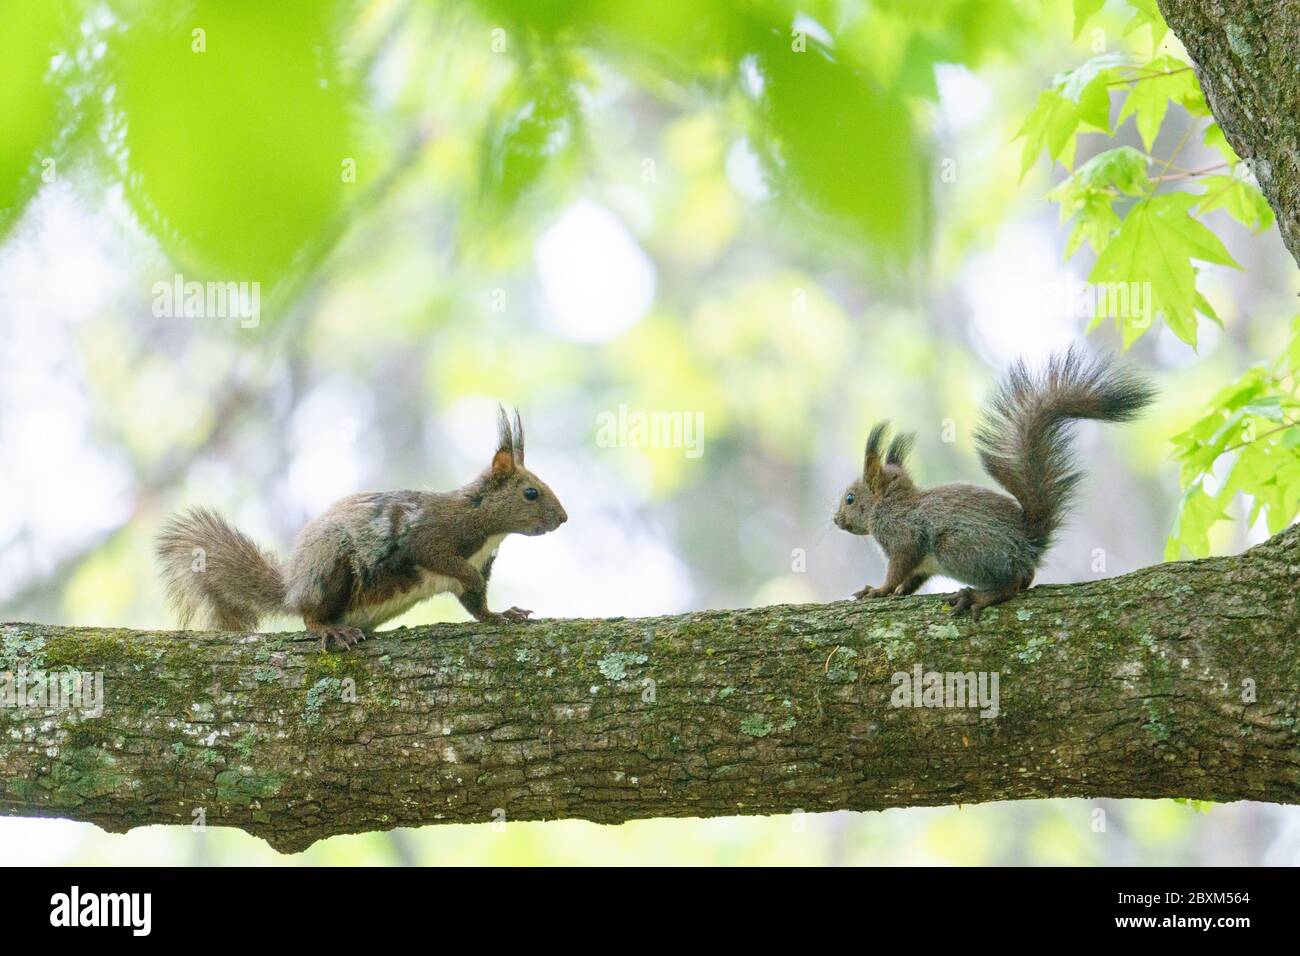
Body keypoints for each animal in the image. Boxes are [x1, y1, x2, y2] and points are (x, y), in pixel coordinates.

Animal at [156, 406, 567, 649]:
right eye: (531, 493)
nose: (563, 519)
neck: (485, 525)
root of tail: (294, 588)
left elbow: (477, 606)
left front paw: (502, 615)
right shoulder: (432, 533)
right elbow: (443, 560)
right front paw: (472, 579)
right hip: (333, 572)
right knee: (309, 616)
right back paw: (329, 628)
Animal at [833, 347, 1154, 620]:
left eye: (850, 498)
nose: (835, 520)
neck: (891, 503)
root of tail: (1029, 543)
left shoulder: (904, 536)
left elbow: (899, 569)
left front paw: (879, 590)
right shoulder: (920, 565)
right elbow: (912, 579)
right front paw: (893, 592)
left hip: (955, 548)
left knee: (1013, 584)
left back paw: (979, 597)